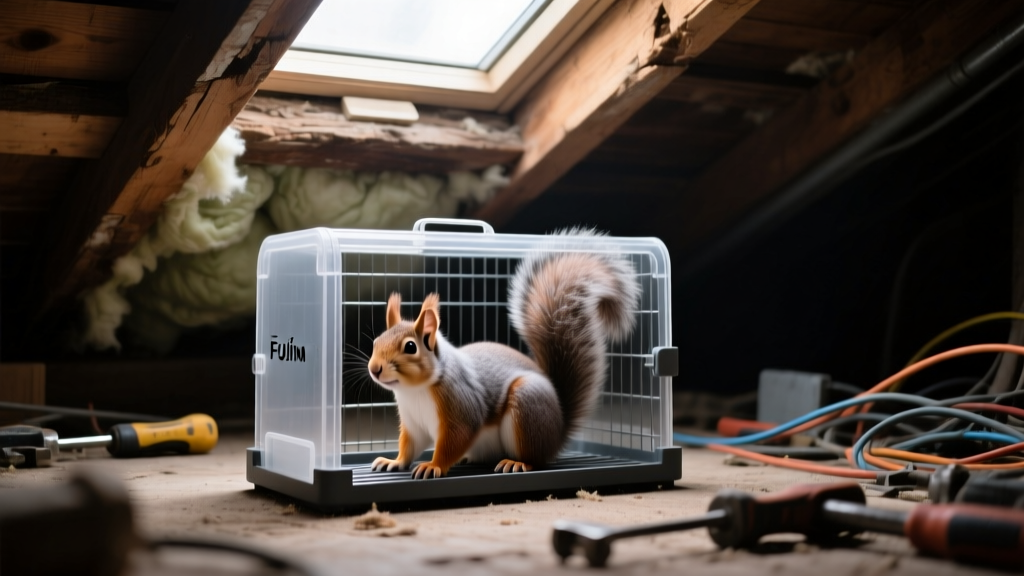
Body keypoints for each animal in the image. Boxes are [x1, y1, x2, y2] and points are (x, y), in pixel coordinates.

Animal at [367, 230, 640, 479]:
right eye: (376, 342)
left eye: (410, 347)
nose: (374, 369)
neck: (414, 391)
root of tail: (558, 430)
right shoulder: (413, 424)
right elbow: (409, 447)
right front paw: (394, 461)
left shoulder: (460, 406)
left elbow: (455, 439)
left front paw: (433, 465)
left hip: (527, 407)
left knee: (535, 458)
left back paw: (517, 463)